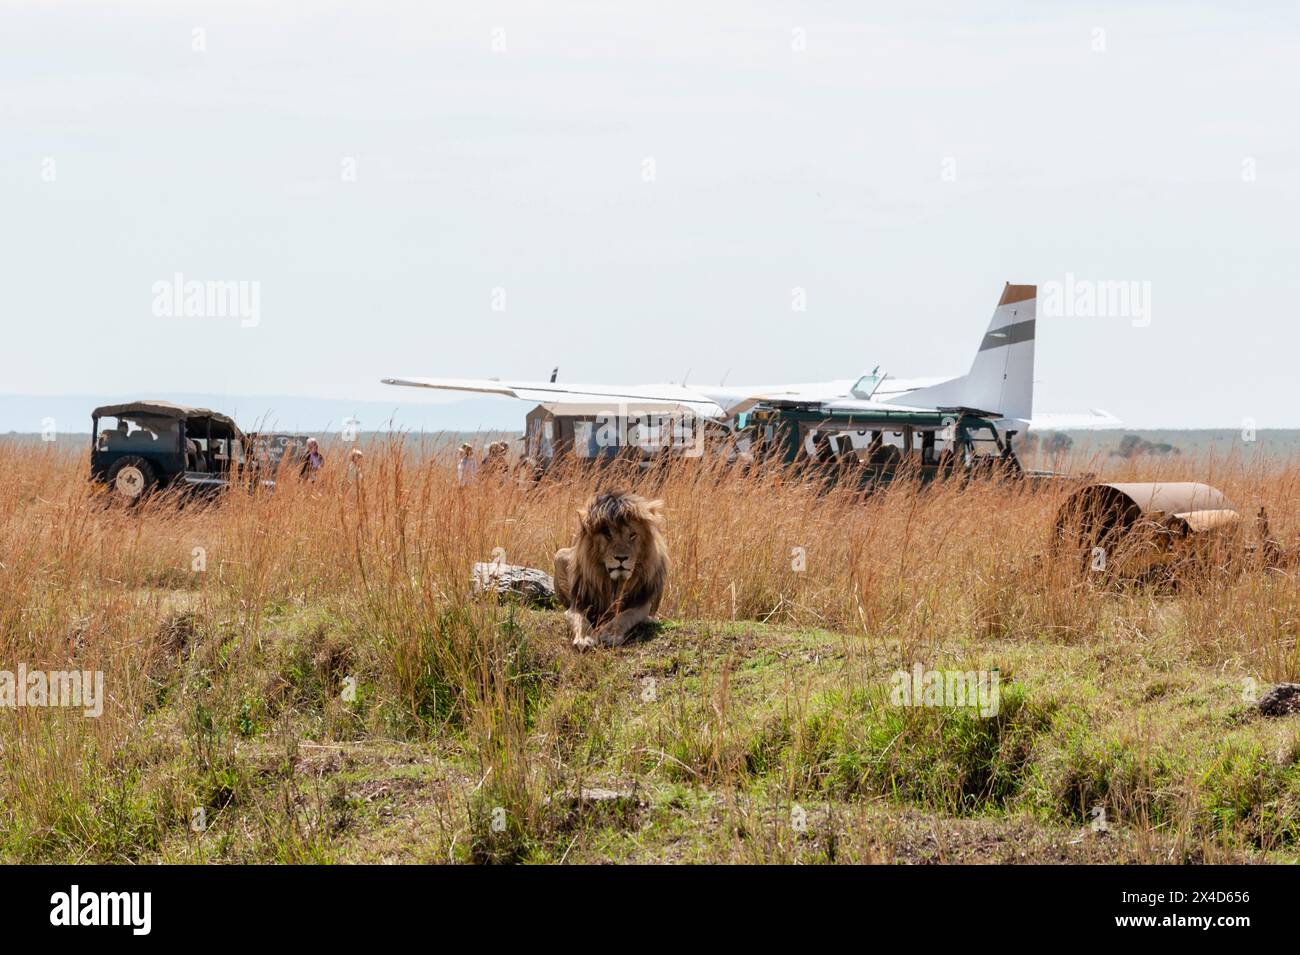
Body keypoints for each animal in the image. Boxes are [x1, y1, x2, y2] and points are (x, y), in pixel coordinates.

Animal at [553, 490, 668, 650]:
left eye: (632, 534)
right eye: (607, 534)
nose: (621, 558)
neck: (614, 583)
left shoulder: (642, 604)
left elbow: (626, 615)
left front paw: (610, 634)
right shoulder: (577, 604)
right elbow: (580, 620)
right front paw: (585, 638)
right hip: (560, 554)